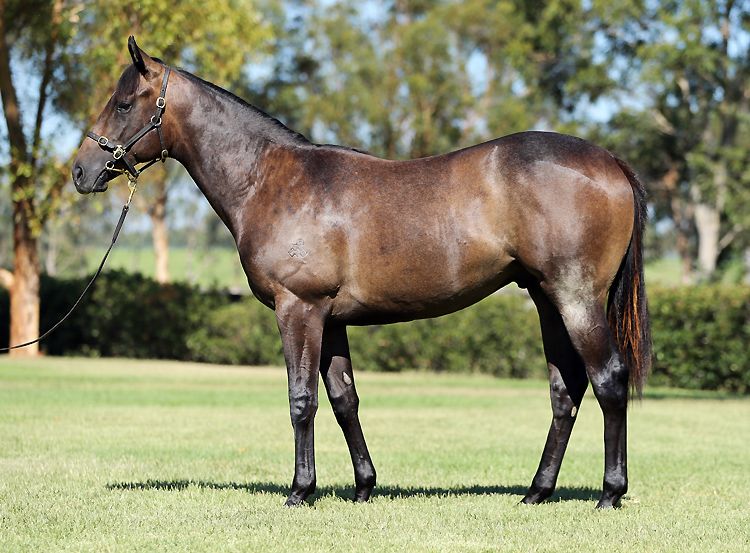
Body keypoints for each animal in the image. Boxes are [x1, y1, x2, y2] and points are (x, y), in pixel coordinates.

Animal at [72, 37, 651, 509]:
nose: (80, 171)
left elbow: (301, 399)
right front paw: (364, 486)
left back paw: (609, 493)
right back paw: (537, 491)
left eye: (123, 103)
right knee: (565, 390)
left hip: (575, 298)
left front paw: (300, 490)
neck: (269, 179)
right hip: (545, 298)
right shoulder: (330, 319)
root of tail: (610, 162)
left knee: (607, 379)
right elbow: (343, 399)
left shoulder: (299, 308)